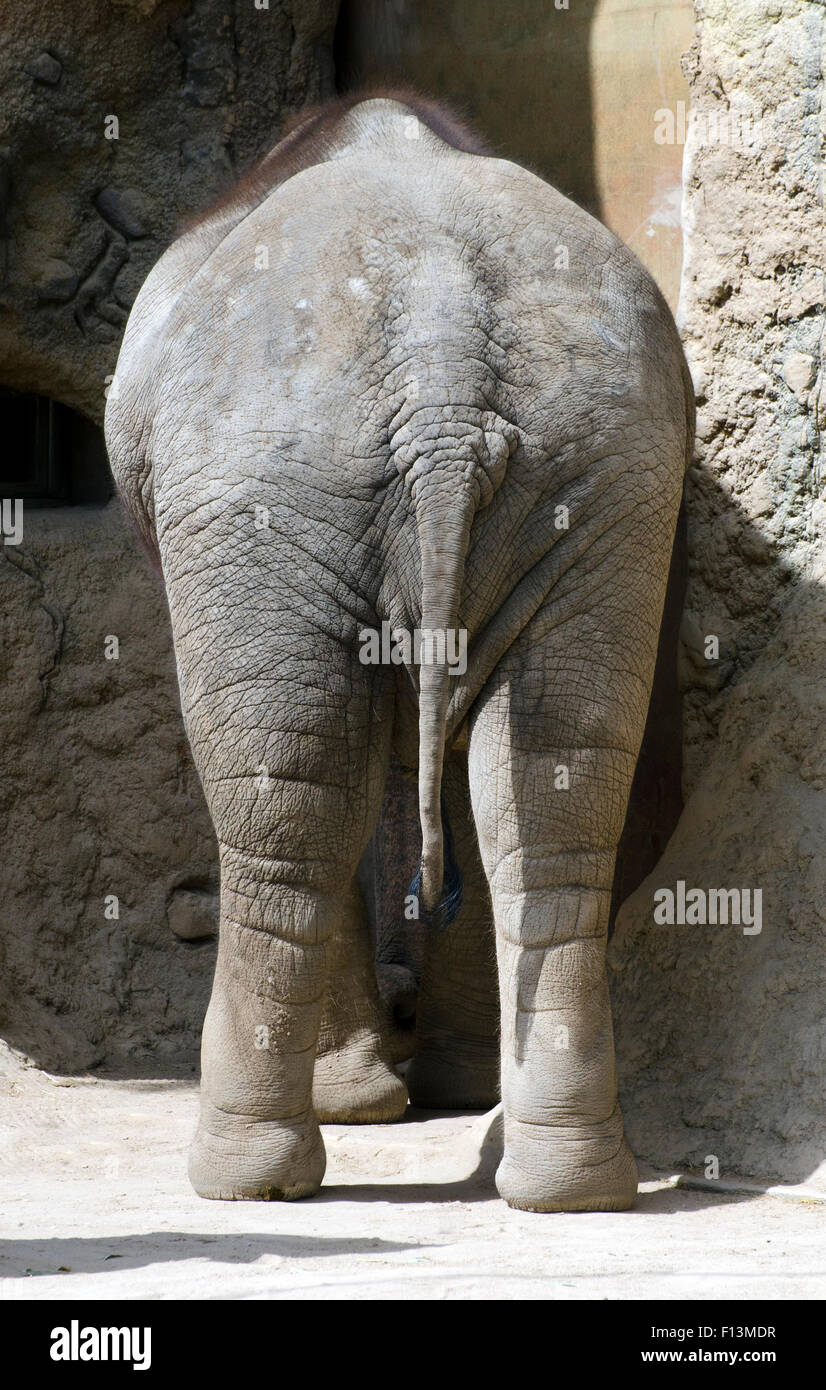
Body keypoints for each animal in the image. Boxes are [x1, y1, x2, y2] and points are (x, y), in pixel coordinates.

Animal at [105, 88, 694, 1212]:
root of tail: (440, 353)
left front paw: (375, 1100)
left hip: (264, 477)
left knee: (290, 793)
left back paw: (242, 1178)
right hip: (606, 469)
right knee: (553, 783)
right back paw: (569, 1186)